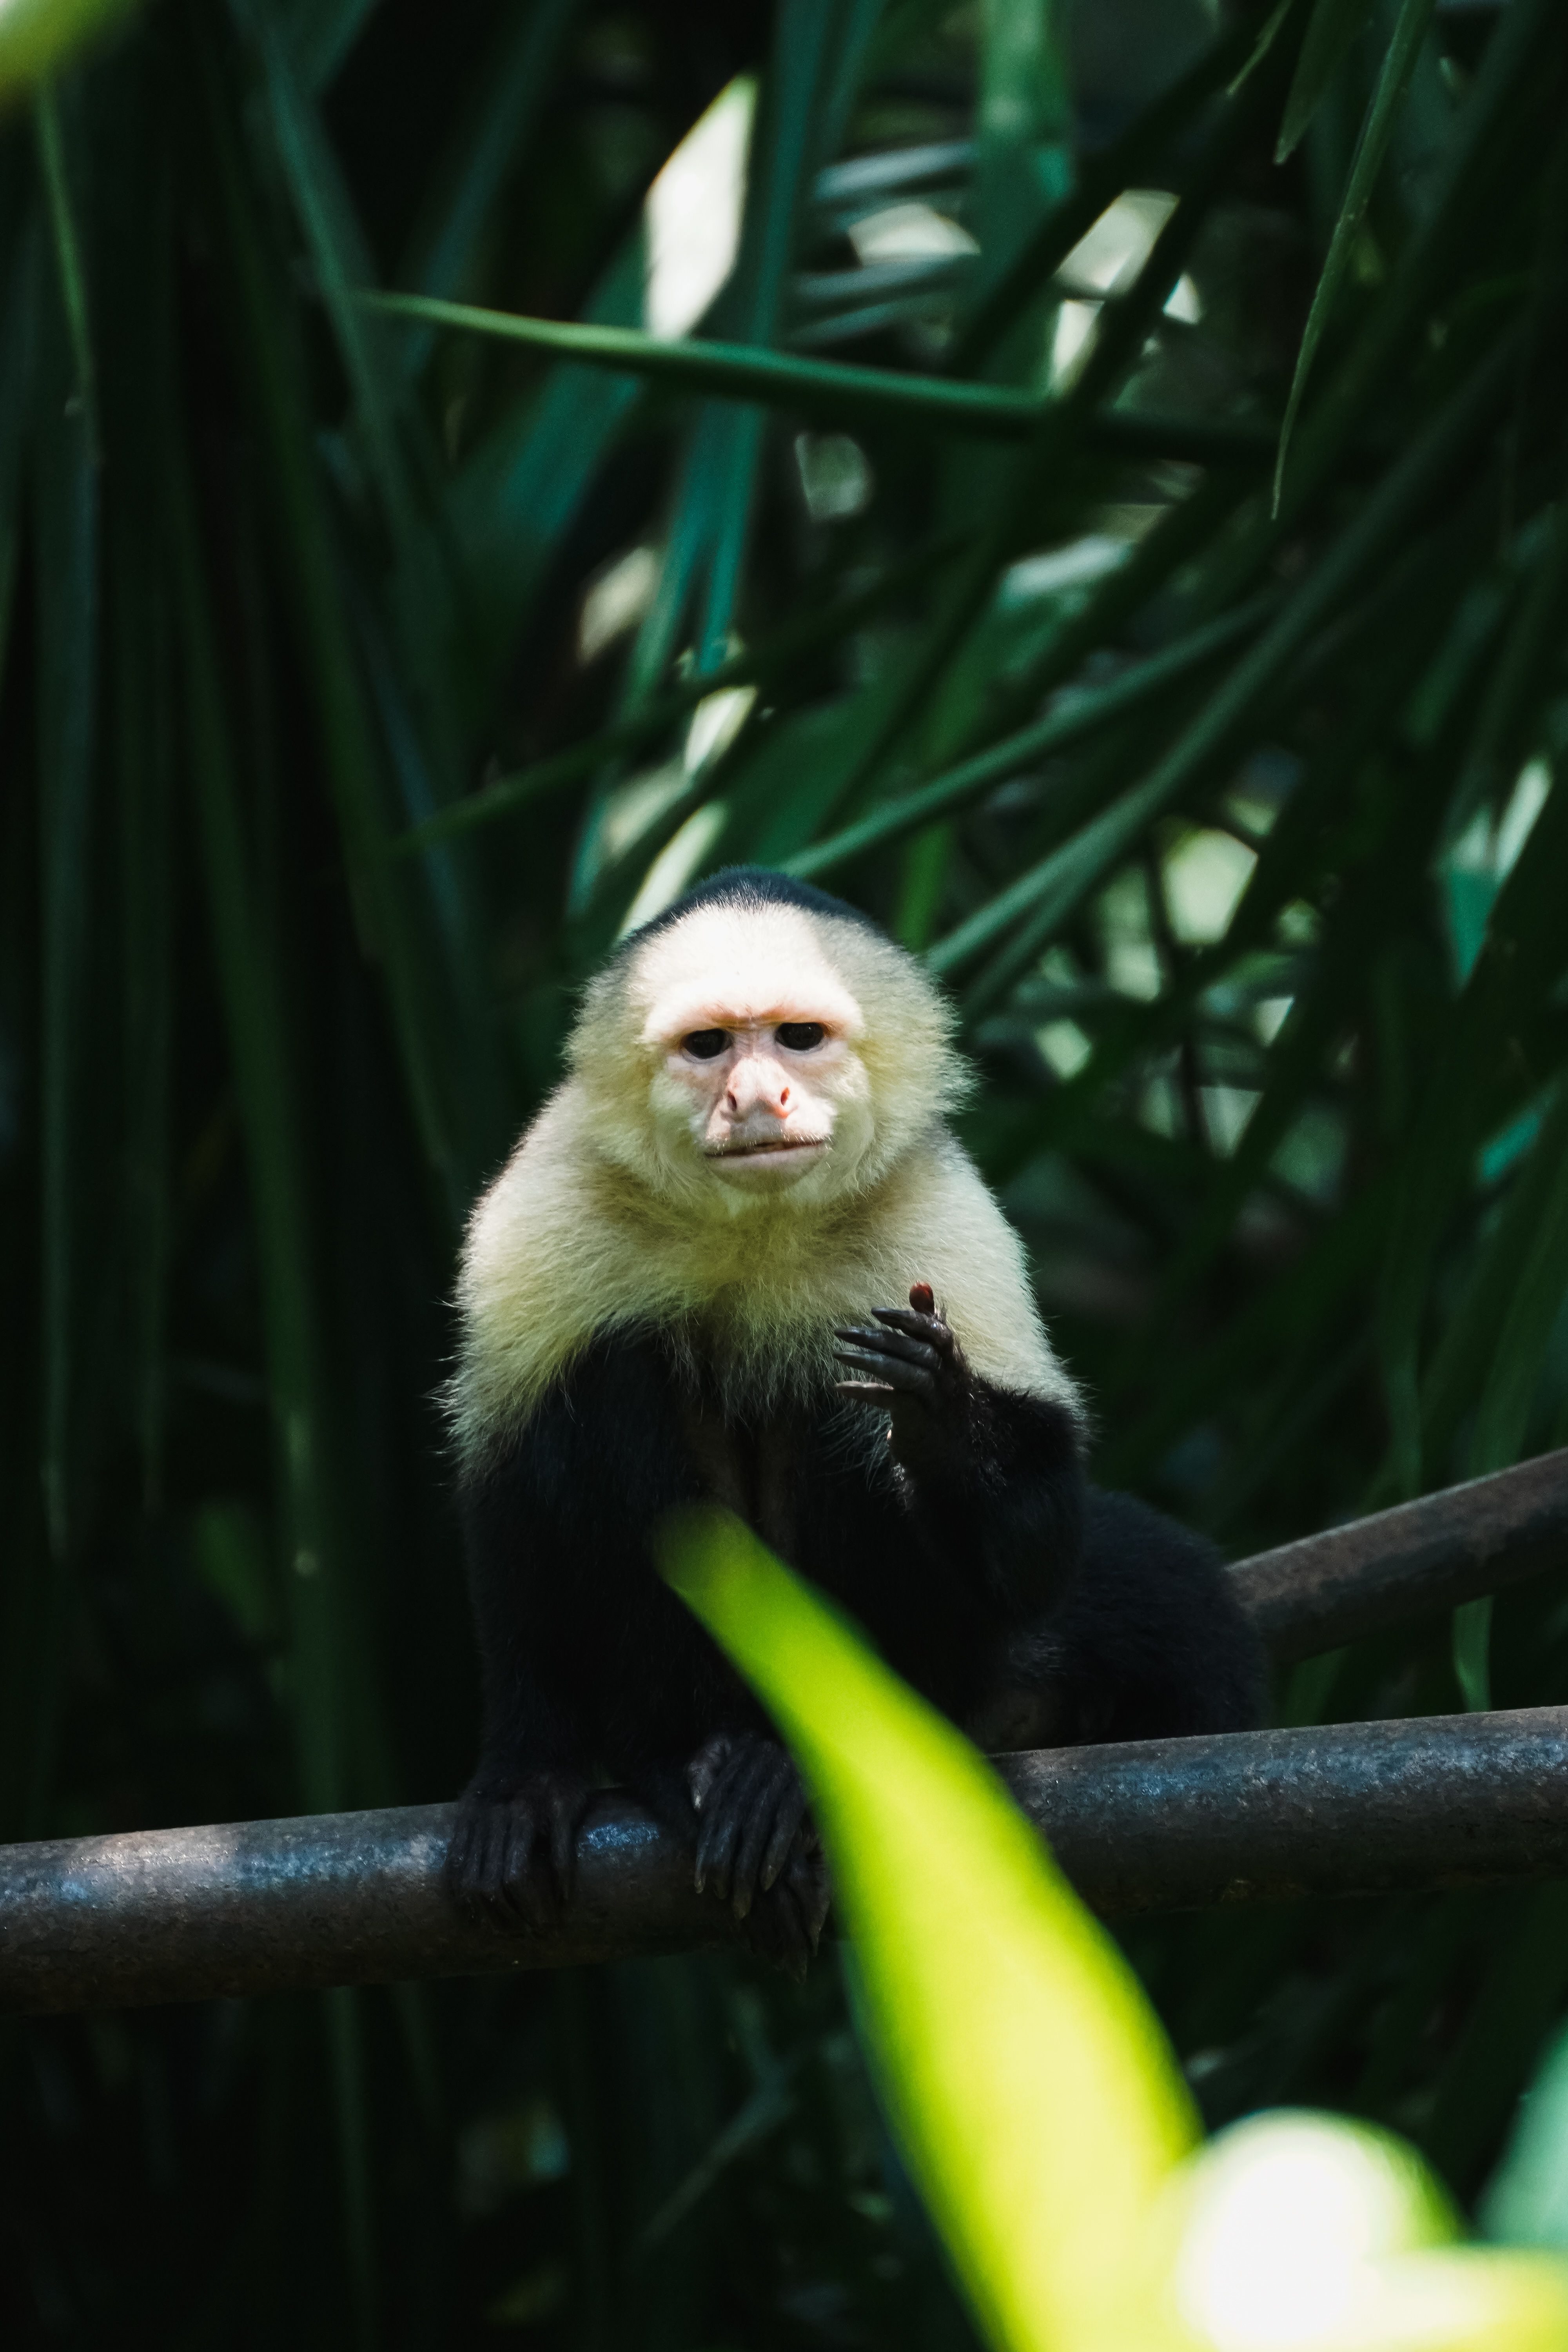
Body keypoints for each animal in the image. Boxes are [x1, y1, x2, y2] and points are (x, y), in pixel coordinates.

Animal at [444, 867, 1264, 1972]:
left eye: (798, 1038)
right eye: (708, 1047)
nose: (756, 1098)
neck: (753, 1229)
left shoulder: (940, 1222)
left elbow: (1036, 1532)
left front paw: (946, 1423)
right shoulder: (549, 1204)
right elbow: (507, 1483)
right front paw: (529, 1771)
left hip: (951, 1668)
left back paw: (800, 1770)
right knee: (608, 1372)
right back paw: (692, 1753)